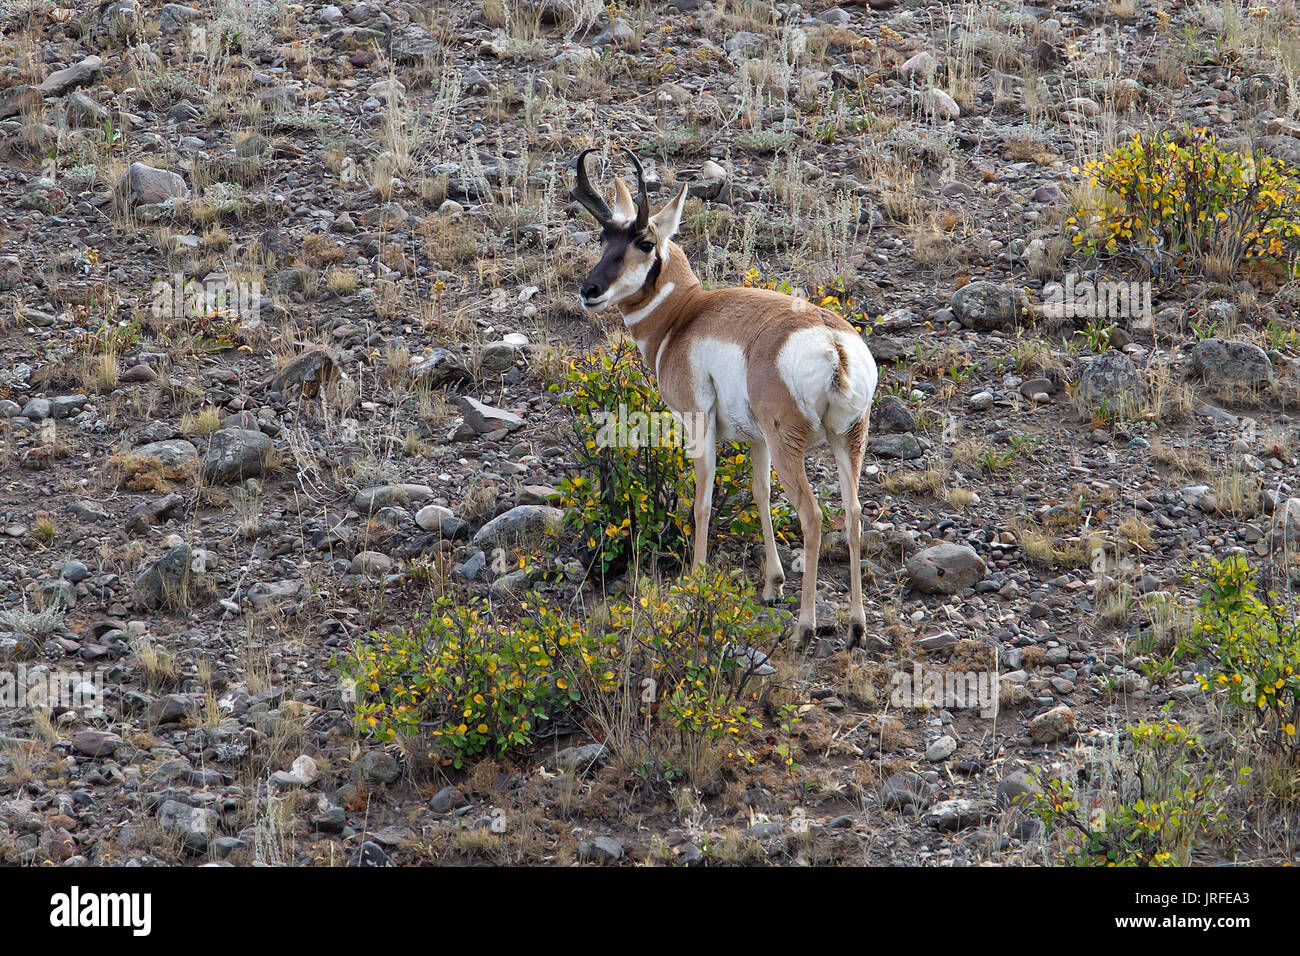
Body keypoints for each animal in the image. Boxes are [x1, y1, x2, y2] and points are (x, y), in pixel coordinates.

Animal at [570, 148, 879, 650]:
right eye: (603, 236)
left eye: (644, 242)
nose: (589, 291)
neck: (685, 316)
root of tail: (832, 342)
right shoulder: (755, 441)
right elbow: (759, 493)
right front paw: (772, 584)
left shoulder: (700, 425)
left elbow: (702, 500)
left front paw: (695, 581)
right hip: (847, 439)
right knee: (851, 514)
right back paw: (855, 627)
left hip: (792, 445)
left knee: (813, 516)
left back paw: (805, 628)